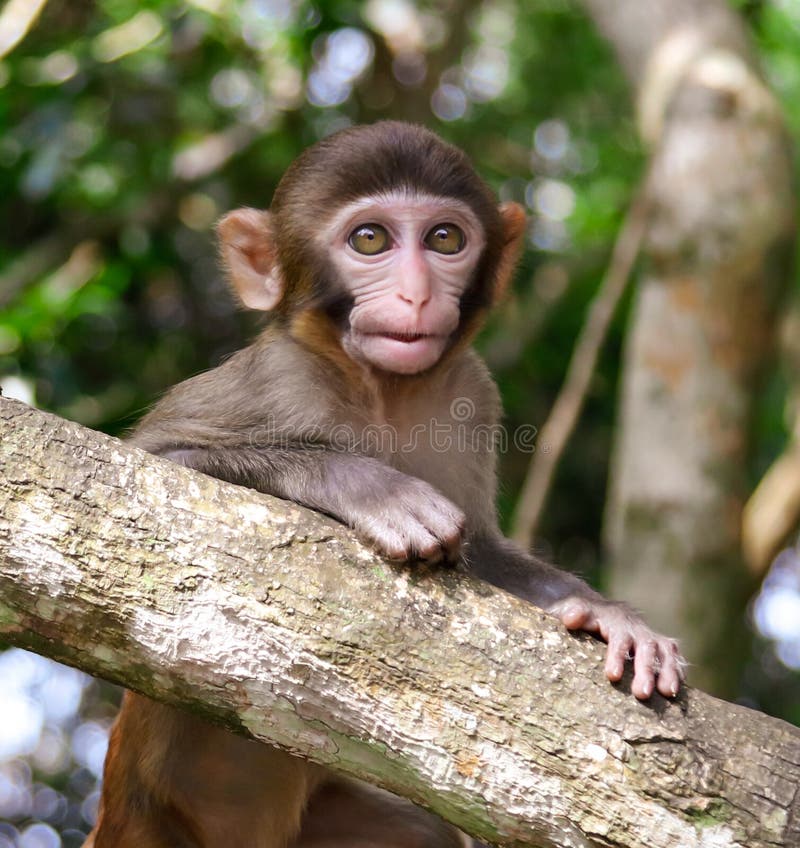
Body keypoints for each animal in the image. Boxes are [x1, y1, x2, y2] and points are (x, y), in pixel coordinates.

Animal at [85, 121, 684, 848]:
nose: (417, 293)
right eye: (369, 240)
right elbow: (150, 466)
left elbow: (483, 551)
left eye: (445, 239)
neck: (382, 390)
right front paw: (380, 492)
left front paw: (603, 613)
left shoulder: (472, 392)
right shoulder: (277, 375)